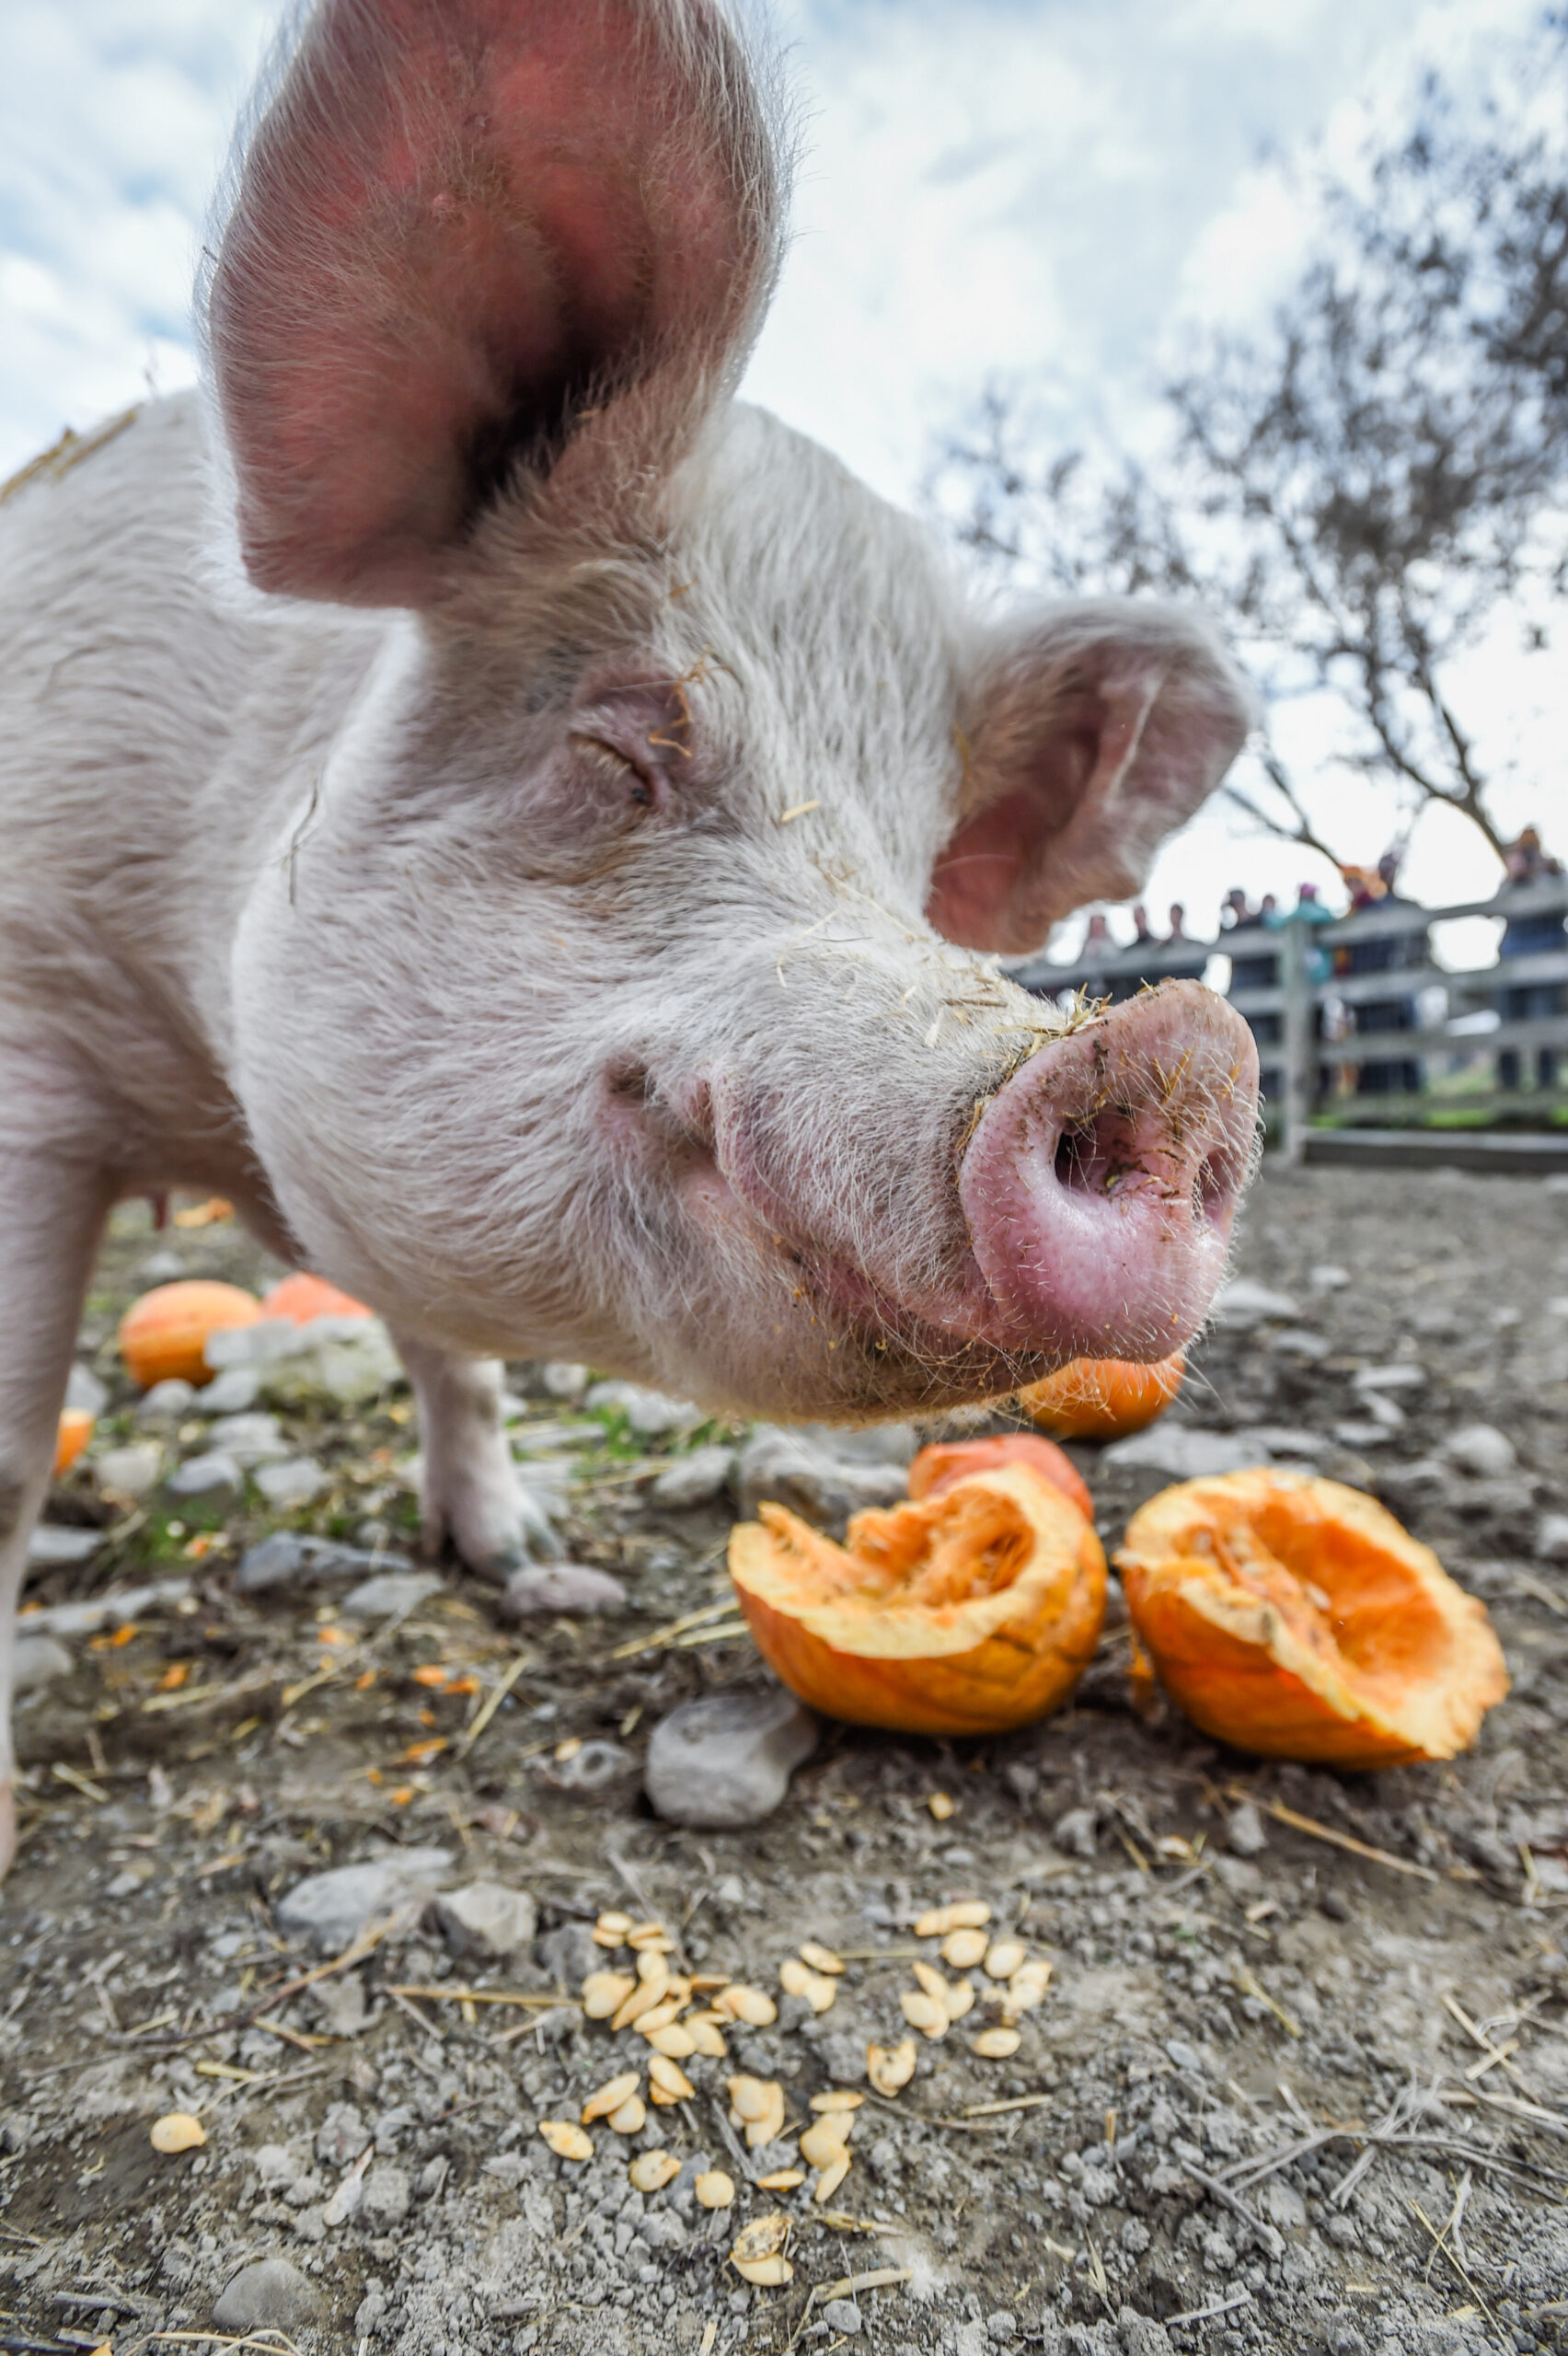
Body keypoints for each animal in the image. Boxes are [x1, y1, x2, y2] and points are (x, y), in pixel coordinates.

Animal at [0, 0, 1261, 1872]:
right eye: (617, 744)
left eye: (914, 859)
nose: (1174, 1050)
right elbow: (14, 1444)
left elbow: (451, 1357)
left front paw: (520, 1564)